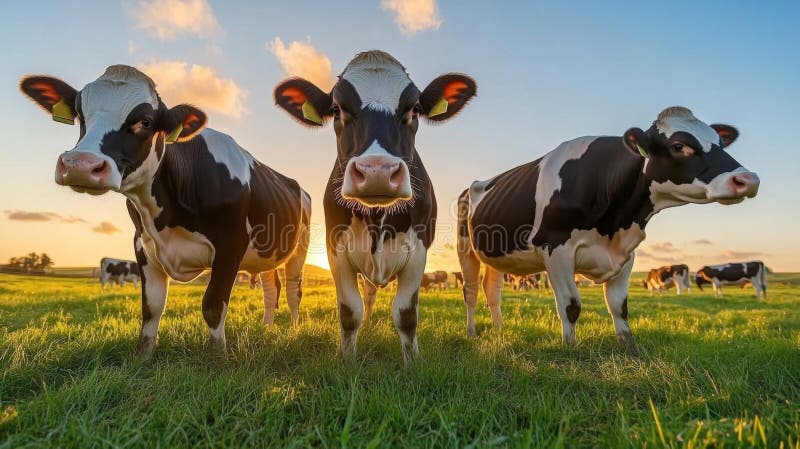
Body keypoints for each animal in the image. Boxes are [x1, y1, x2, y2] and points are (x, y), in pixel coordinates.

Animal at [20, 65, 311, 359]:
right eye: (80, 114)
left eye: (146, 121)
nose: (80, 165)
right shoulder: (143, 245)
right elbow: (151, 308)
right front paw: (143, 358)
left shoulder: (231, 245)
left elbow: (213, 305)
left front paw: (218, 357)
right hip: (265, 254)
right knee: (271, 288)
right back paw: (267, 327)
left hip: (299, 247)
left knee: (293, 290)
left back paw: (292, 330)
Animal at [274, 50, 476, 363]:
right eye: (337, 109)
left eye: (414, 109)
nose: (377, 172)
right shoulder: (335, 249)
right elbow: (350, 312)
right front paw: (346, 361)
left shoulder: (419, 250)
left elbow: (406, 314)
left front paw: (412, 363)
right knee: (368, 295)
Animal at [457, 106, 759, 355]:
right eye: (679, 145)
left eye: (719, 141)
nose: (748, 180)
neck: (615, 221)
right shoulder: (555, 247)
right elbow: (571, 305)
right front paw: (570, 349)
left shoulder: (628, 252)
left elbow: (618, 306)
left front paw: (629, 348)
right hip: (466, 249)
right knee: (470, 291)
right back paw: (471, 333)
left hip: (496, 256)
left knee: (492, 290)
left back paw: (499, 330)